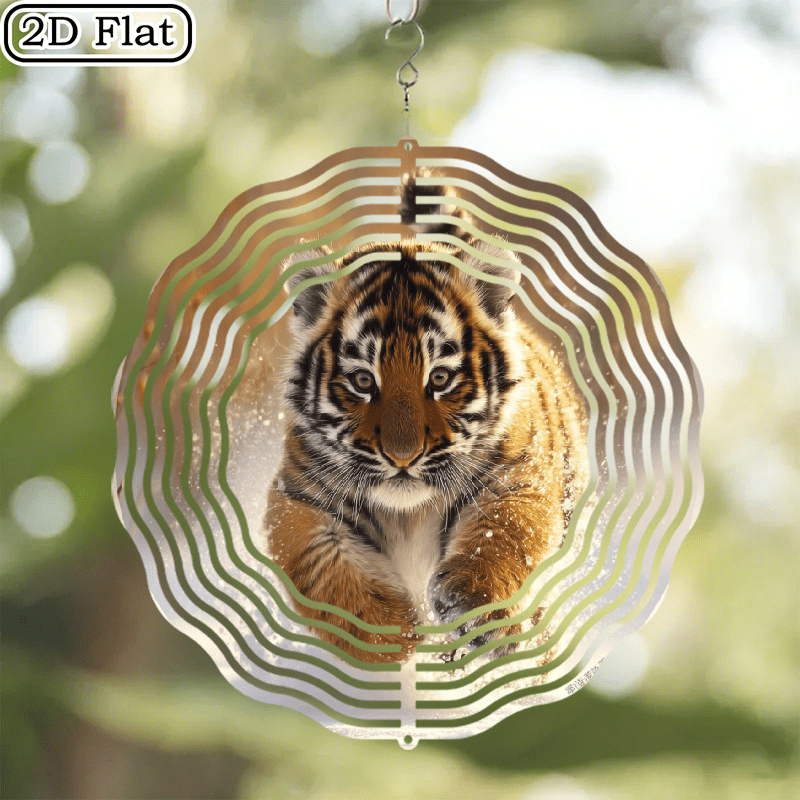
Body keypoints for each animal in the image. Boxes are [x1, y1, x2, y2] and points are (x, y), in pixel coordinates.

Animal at [262, 191, 589, 665]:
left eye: (440, 378)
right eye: (363, 381)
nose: (402, 457)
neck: (408, 514)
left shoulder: (520, 476)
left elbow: (504, 533)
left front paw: (476, 606)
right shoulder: (299, 498)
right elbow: (322, 561)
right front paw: (385, 632)